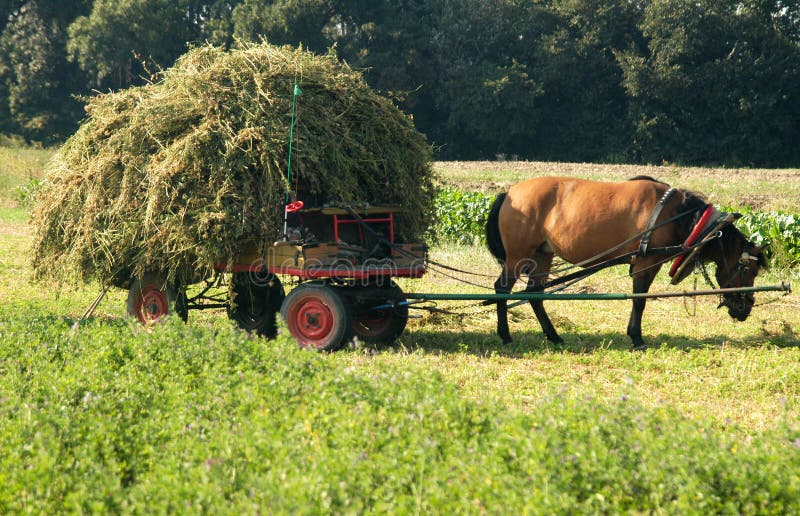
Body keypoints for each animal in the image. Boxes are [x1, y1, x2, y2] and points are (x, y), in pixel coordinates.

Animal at [484, 176, 768, 349]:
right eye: (749, 270)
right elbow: (639, 300)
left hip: (543, 254)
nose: (746, 308)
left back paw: (553, 336)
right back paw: (505, 335)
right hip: (518, 255)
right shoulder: (646, 261)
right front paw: (637, 337)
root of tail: (509, 193)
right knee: (502, 289)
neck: (678, 216)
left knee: (535, 293)